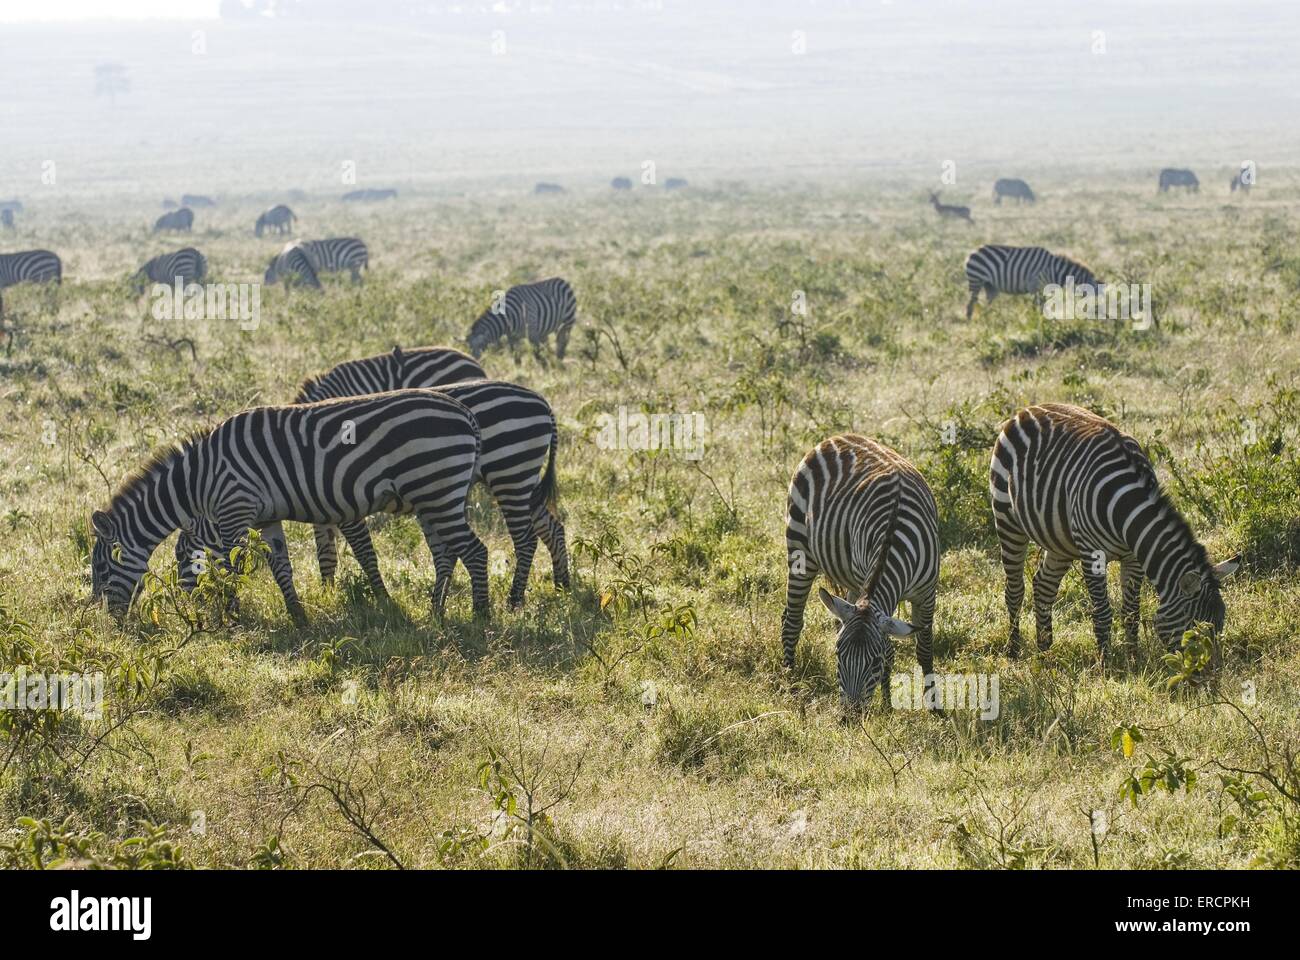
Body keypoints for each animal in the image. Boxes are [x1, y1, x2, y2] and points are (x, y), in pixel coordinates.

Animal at [92, 389, 490, 624]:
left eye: (101, 568)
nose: (108, 622)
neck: (198, 480)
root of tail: (465, 413)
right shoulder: (265, 518)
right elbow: (281, 567)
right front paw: (298, 617)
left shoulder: (234, 510)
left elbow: (231, 567)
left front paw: (231, 616)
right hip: (433, 497)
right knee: (445, 553)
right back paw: (436, 612)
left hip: (436, 487)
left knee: (475, 551)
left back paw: (480, 616)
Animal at [781, 435, 941, 708]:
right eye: (838, 655)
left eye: (874, 661)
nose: (849, 715)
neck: (893, 537)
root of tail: (835, 438)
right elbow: (891, 649)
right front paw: (887, 706)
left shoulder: (927, 594)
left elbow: (925, 649)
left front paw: (933, 707)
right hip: (799, 547)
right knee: (791, 621)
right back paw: (791, 685)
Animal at [964, 244, 1101, 320]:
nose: (1097, 315)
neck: (1054, 269)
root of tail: (973, 251)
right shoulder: (1036, 285)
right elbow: (1039, 305)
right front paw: (1039, 320)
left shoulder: (1042, 288)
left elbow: (1041, 304)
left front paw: (1041, 319)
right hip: (976, 279)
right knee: (971, 302)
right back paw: (969, 320)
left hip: (990, 285)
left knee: (987, 301)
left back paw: (989, 318)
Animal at [990, 403, 1239, 659]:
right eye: (1194, 632)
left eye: (1219, 627)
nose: (1212, 668)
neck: (1127, 510)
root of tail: (1029, 408)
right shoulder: (1092, 555)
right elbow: (1102, 613)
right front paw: (1105, 661)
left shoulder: (1134, 558)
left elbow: (1131, 612)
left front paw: (1133, 657)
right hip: (1007, 518)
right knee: (1015, 589)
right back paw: (1013, 648)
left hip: (1060, 539)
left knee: (1043, 585)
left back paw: (1044, 649)